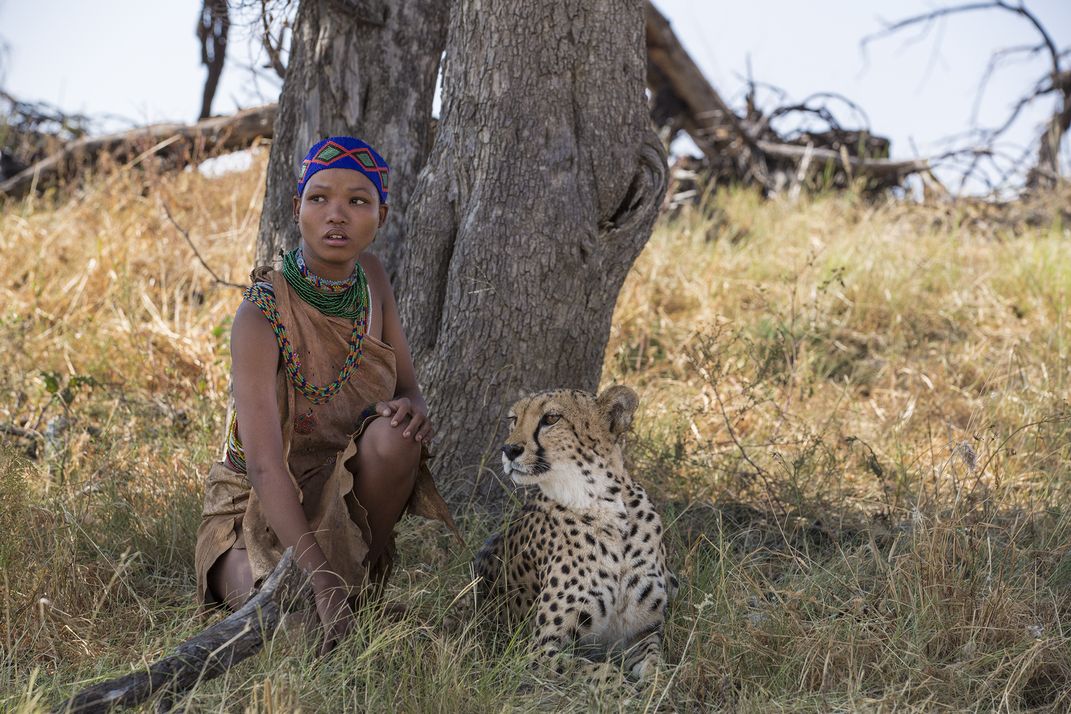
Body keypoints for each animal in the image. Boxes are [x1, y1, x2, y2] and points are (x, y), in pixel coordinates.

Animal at [474, 385, 675, 680]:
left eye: (551, 418)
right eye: (514, 419)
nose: (509, 449)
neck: (606, 505)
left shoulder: (642, 632)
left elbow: (657, 666)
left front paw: (657, 684)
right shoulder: (541, 649)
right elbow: (601, 671)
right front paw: (625, 689)